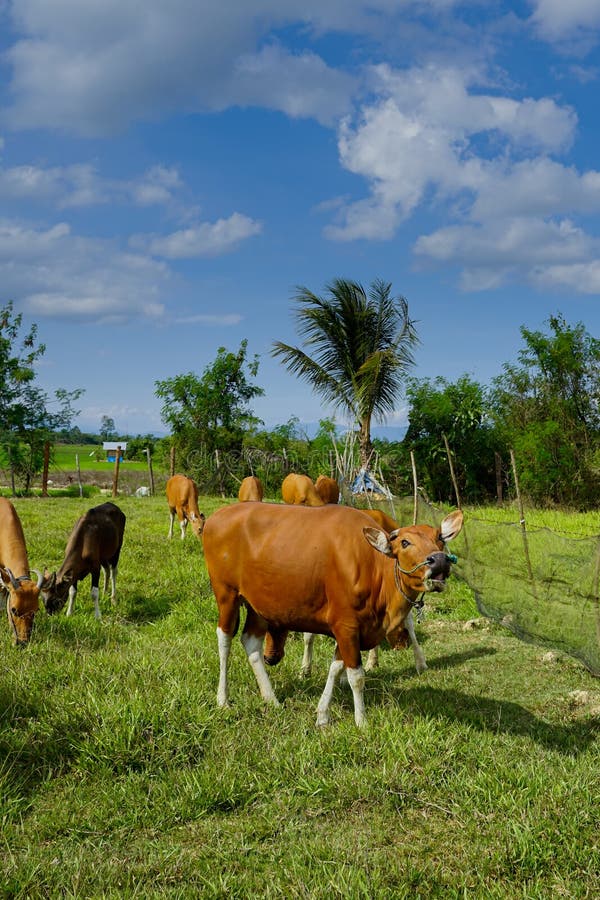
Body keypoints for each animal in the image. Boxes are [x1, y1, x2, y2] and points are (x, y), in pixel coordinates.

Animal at [203, 502, 462, 727]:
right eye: (406, 542)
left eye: (439, 538)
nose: (439, 560)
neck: (373, 569)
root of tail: (216, 518)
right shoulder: (346, 626)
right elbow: (356, 676)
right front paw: (361, 721)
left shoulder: (349, 628)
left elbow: (336, 669)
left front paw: (322, 715)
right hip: (226, 593)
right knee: (224, 638)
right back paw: (223, 699)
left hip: (258, 604)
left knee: (251, 642)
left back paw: (271, 698)